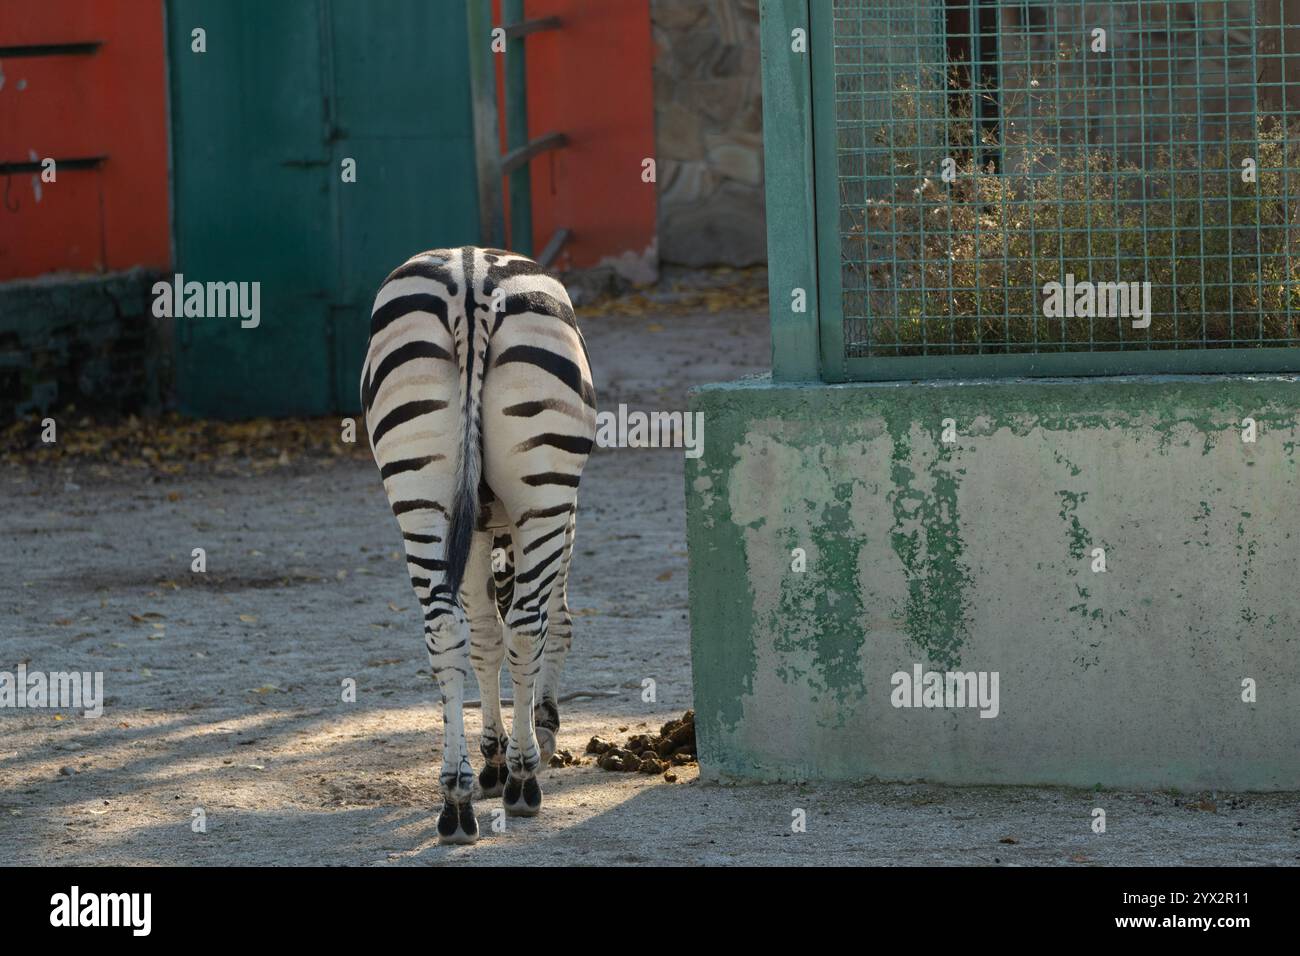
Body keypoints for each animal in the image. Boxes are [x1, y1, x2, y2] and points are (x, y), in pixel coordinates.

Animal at [361, 246, 595, 844]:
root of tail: (470, 275)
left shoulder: (476, 530)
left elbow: (485, 637)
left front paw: (491, 758)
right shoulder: (565, 512)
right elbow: (550, 622)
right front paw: (530, 738)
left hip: (421, 494)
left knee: (445, 630)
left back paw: (455, 797)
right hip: (545, 494)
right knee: (528, 623)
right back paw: (523, 781)